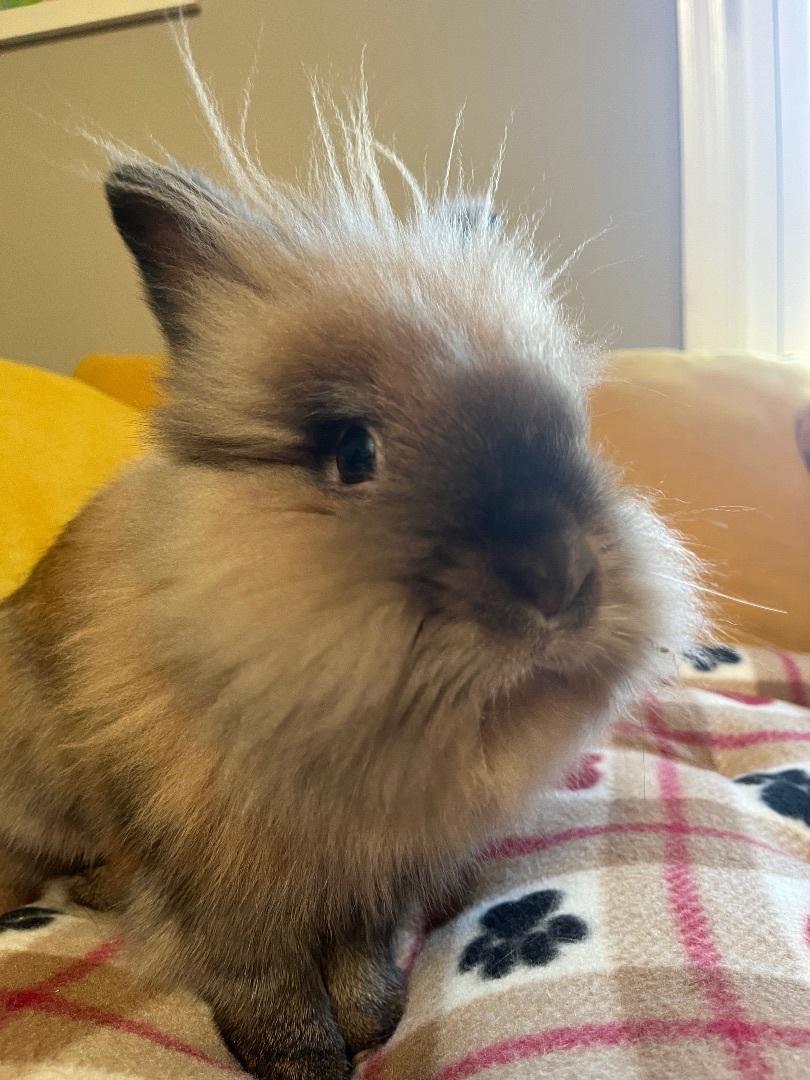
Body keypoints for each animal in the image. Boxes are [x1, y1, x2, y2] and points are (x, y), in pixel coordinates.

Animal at [0, 49, 703, 1080]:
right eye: (352, 452)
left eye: (573, 429)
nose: (558, 583)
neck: (364, 756)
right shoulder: (216, 887)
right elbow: (256, 975)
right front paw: (304, 1059)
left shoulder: (374, 884)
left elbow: (363, 954)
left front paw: (372, 1024)